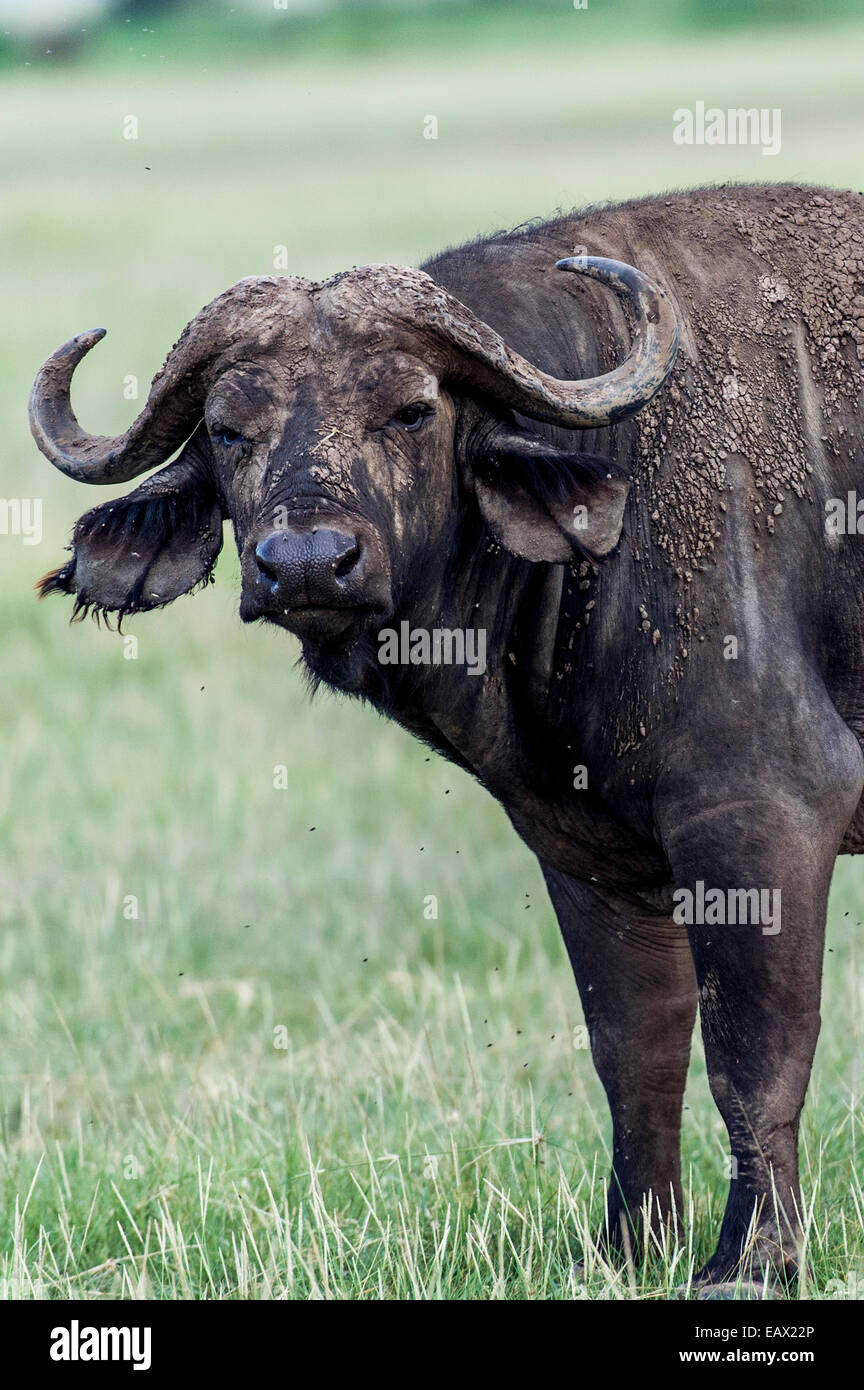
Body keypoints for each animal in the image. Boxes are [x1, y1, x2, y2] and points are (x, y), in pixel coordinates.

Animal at [31, 182, 864, 1295]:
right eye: (228, 430)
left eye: (412, 410)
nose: (306, 563)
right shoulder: (586, 852)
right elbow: (634, 1051)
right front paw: (629, 1244)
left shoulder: (762, 815)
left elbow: (755, 1056)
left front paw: (751, 1261)